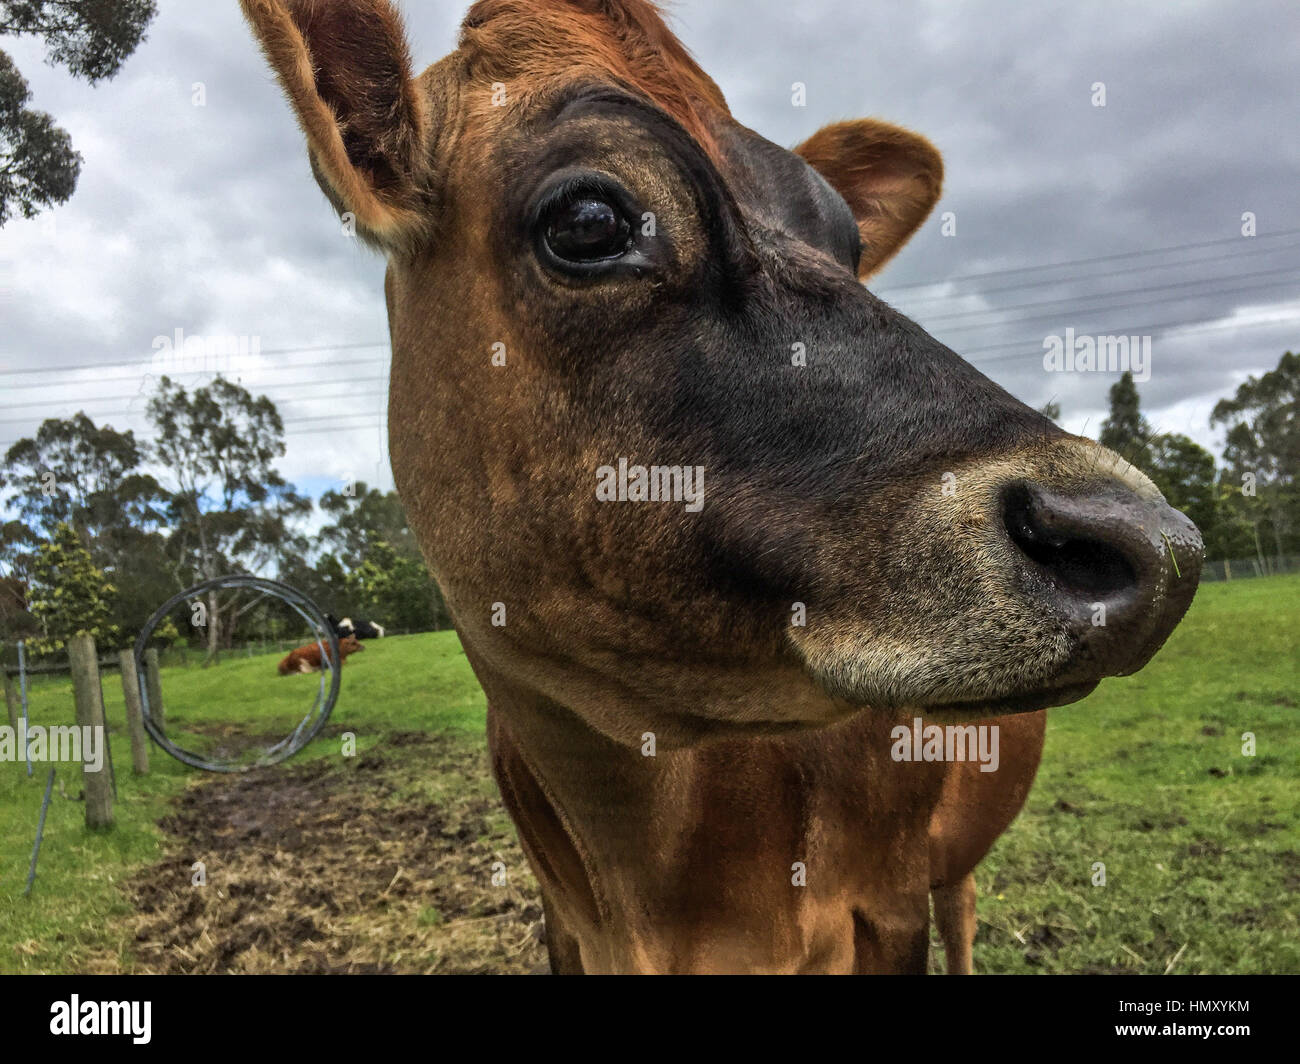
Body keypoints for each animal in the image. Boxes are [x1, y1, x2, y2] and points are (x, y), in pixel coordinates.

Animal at [241, 0, 1203, 973]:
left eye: (849, 246)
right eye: (588, 221)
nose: (1147, 539)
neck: (647, 881)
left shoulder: (889, 901)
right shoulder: (563, 926)